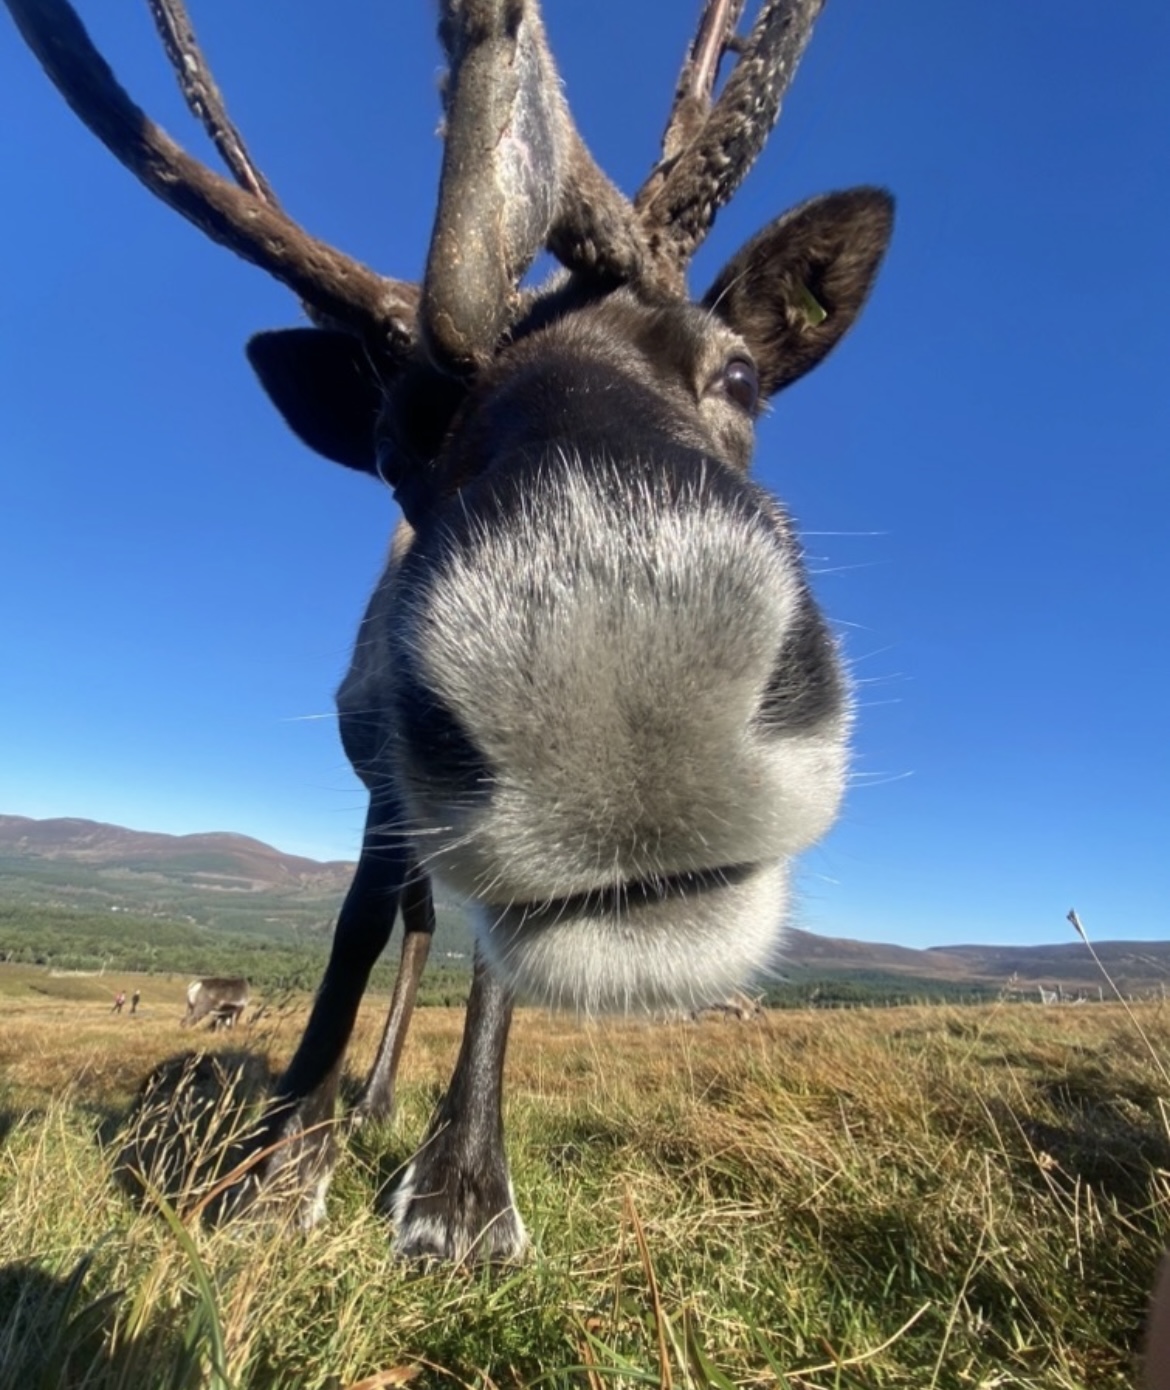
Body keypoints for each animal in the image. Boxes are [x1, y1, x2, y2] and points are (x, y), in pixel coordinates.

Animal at [5, 0, 893, 1263]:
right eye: (392, 437)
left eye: (739, 375)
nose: (617, 670)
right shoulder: (387, 771)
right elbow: (349, 938)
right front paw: (277, 1161)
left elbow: (495, 969)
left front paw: (461, 1188)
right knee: (409, 915)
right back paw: (353, 1106)